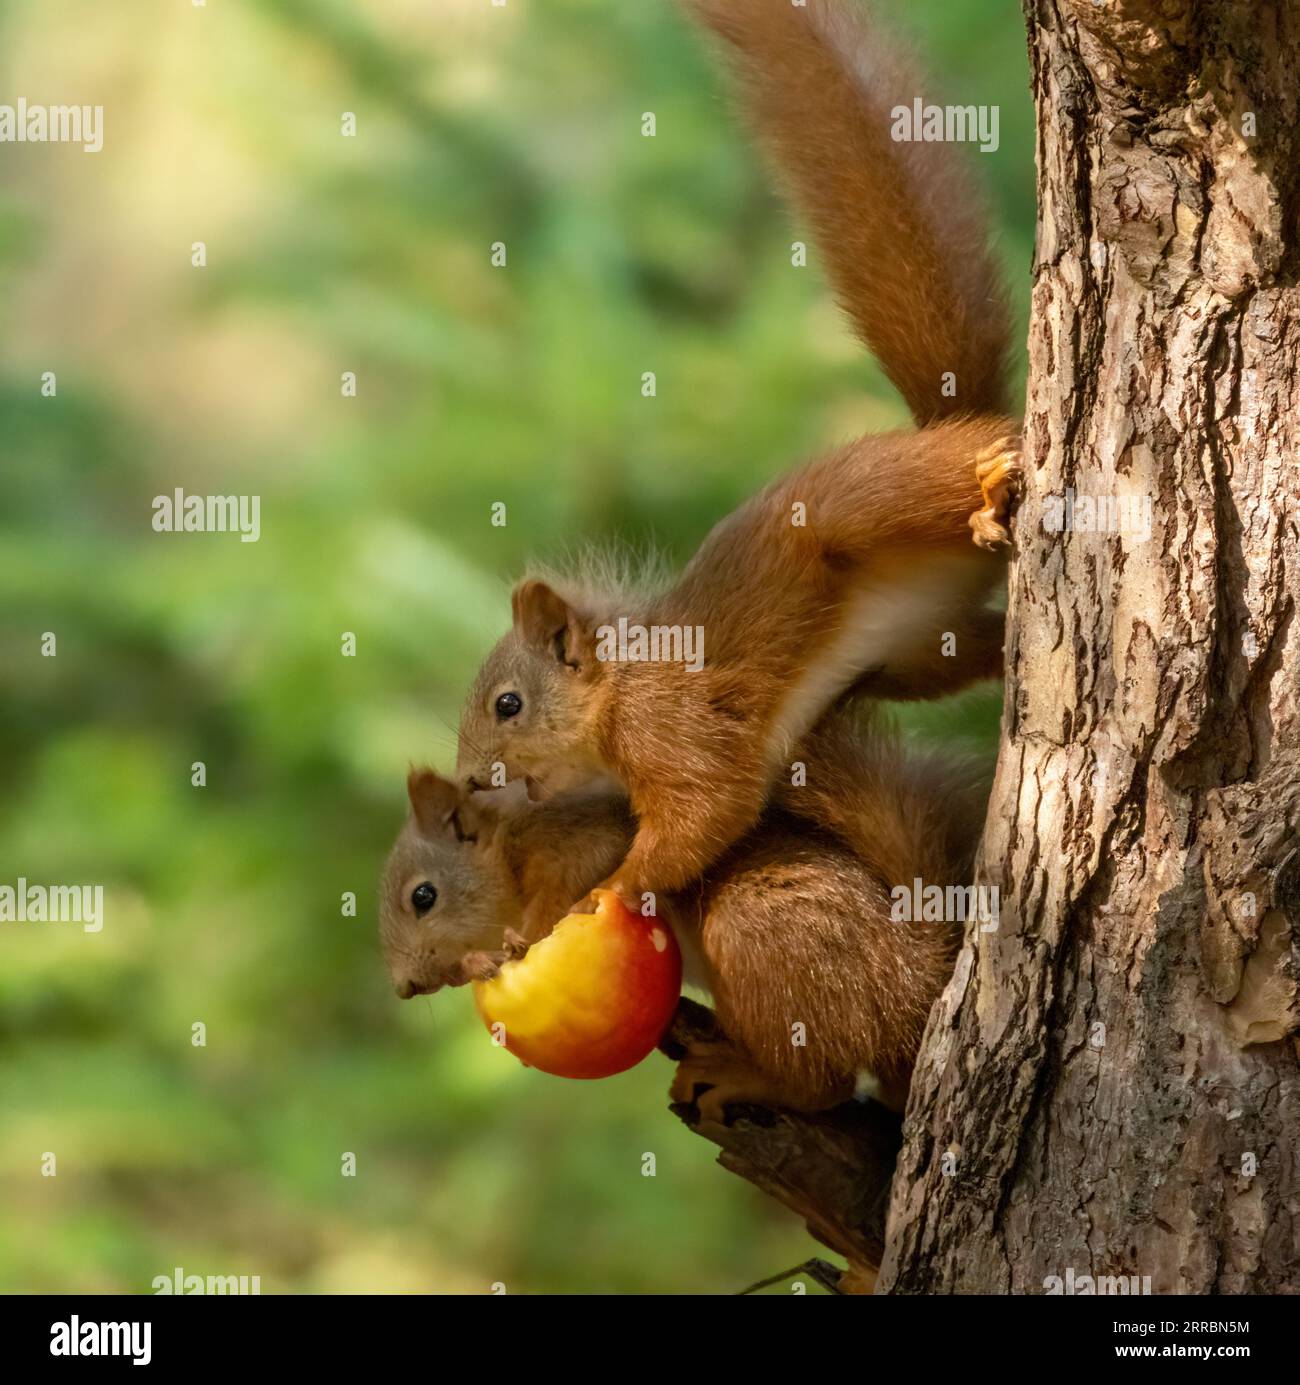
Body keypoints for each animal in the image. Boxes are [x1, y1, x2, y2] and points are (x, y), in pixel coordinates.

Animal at [381, 706, 988, 1117]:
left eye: (423, 897)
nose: (405, 987)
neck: (507, 845)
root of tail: (913, 981)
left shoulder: (578, 839)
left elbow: (583, 880)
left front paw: (521, 939)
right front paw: (479, 961)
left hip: (759, 930)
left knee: (825, 1087)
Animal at [454, 0, 1022, 917]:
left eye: (509, 703)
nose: (471, 779)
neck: (616, 688)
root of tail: (953, 418)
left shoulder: (675, 730)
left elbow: (704, 815)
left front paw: (606, 892)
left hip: (865, 505)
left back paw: (991, 480)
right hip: (912, 657)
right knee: (981, 644)